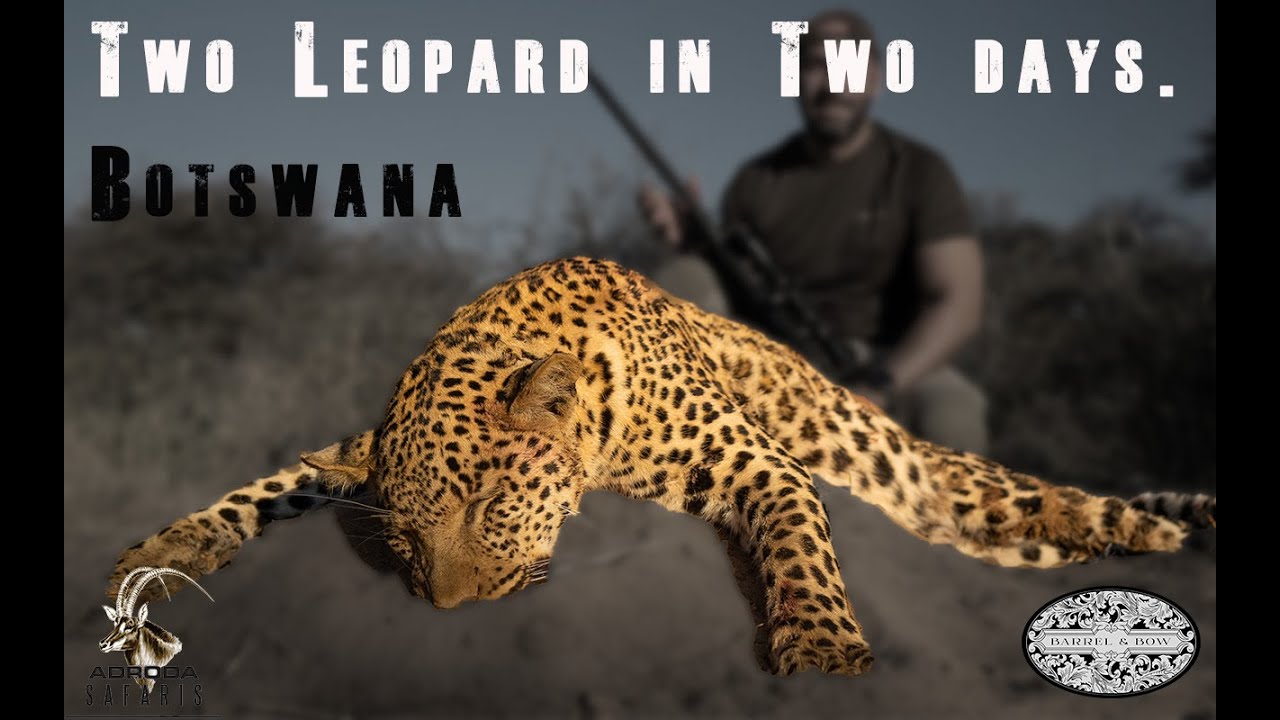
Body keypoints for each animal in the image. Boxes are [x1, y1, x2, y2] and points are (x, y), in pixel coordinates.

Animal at [105, 256, 1216, 677]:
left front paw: (822, 653)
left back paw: (1152, 526)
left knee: (980, 498)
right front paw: (167, 548)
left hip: (862, 440)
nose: (450, 609)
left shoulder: (759, 468)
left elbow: (800, 549)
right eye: (406, 541)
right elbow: (268, 485)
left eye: (492, 506)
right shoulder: (347, 453)